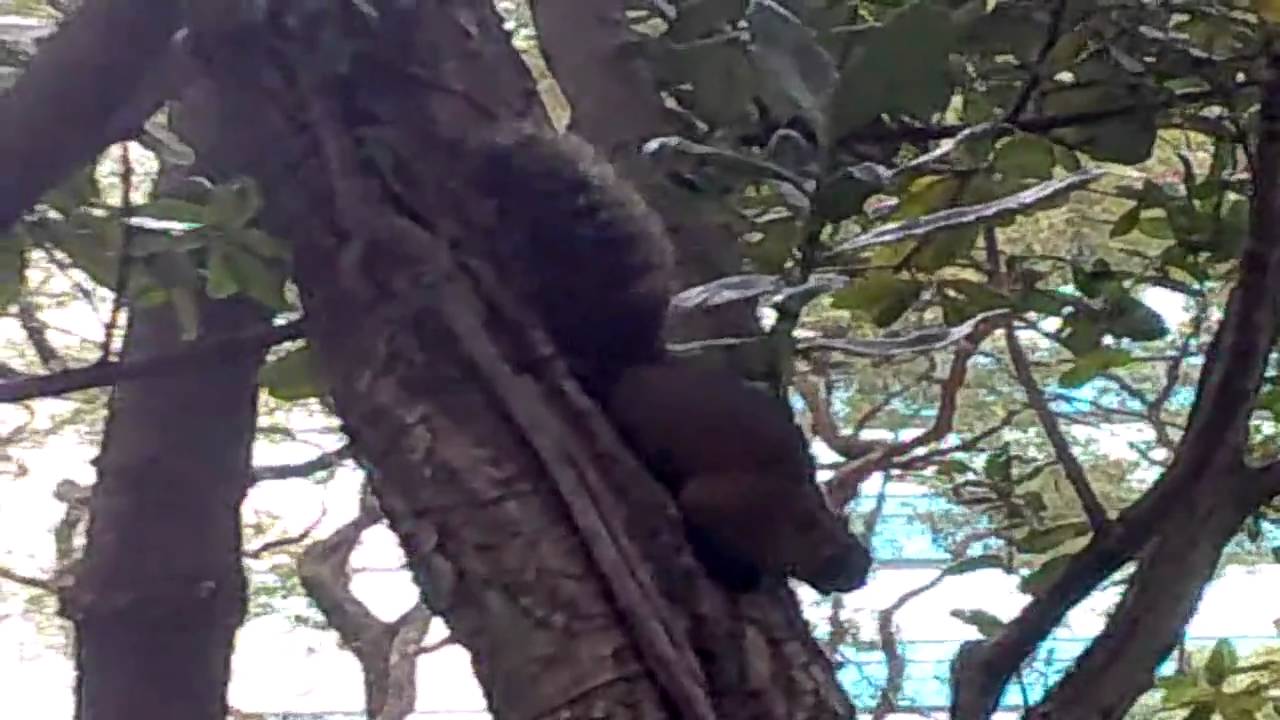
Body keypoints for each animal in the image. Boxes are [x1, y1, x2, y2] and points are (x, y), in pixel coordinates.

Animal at [453, 125, 871, 594]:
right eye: (837, 553)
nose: (859, 575)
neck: (794, 514)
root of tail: (632, 361)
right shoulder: (728, 504)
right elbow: (703, 519)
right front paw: (735, 574)